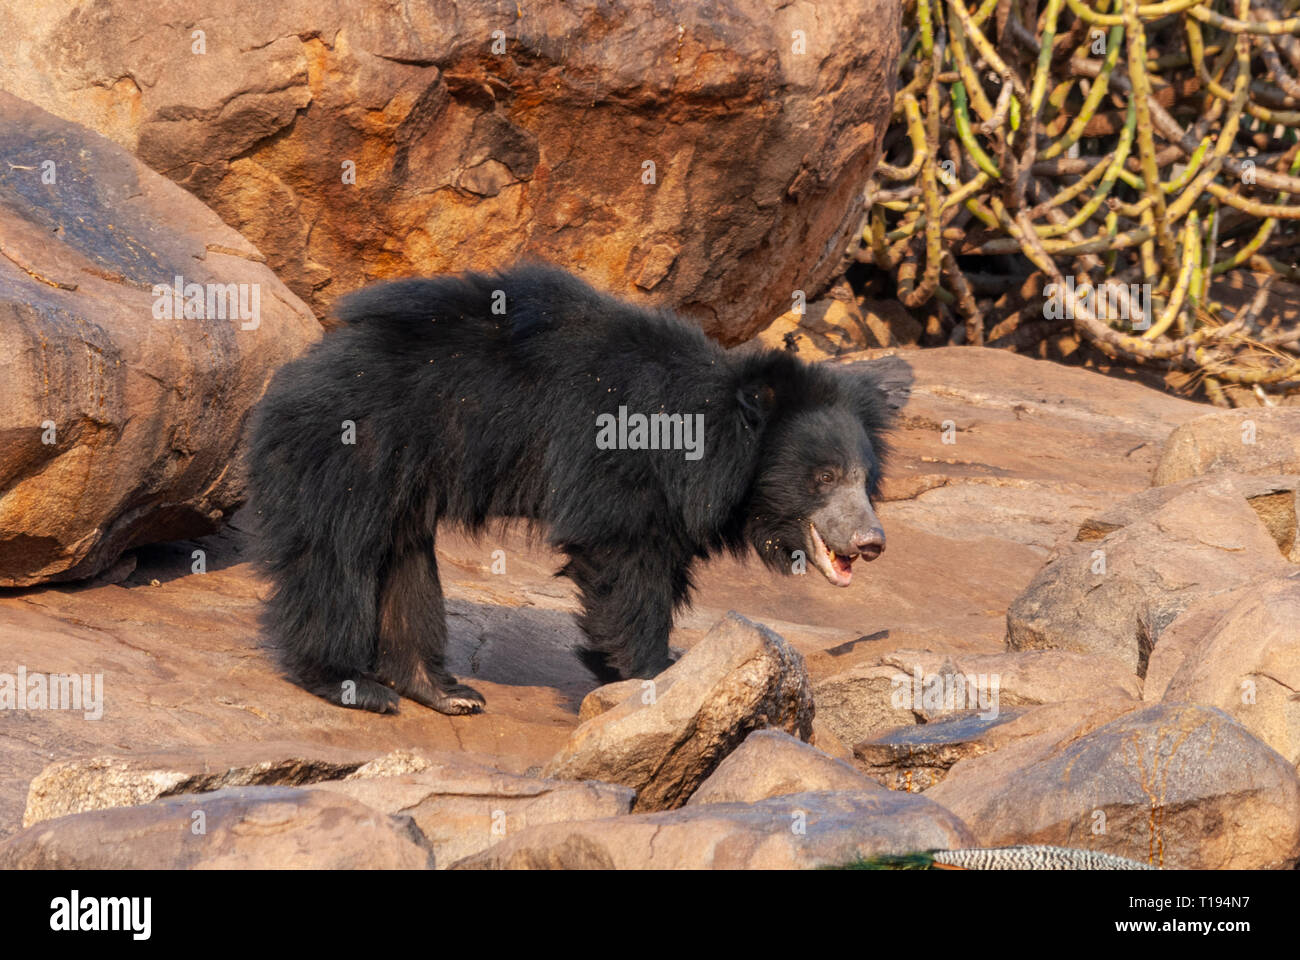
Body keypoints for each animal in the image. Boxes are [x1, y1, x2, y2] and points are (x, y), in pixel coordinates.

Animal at [247, 264, 890, 715]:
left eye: (863, 479)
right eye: (824, 477)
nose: (872, 541)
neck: (703, 434)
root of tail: (299, 369)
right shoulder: (617, 457)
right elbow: (622, 556)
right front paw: (651, 674)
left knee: (404, 563)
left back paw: (443, 690)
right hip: (352, 446)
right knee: (335, 552)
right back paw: (349, 682)